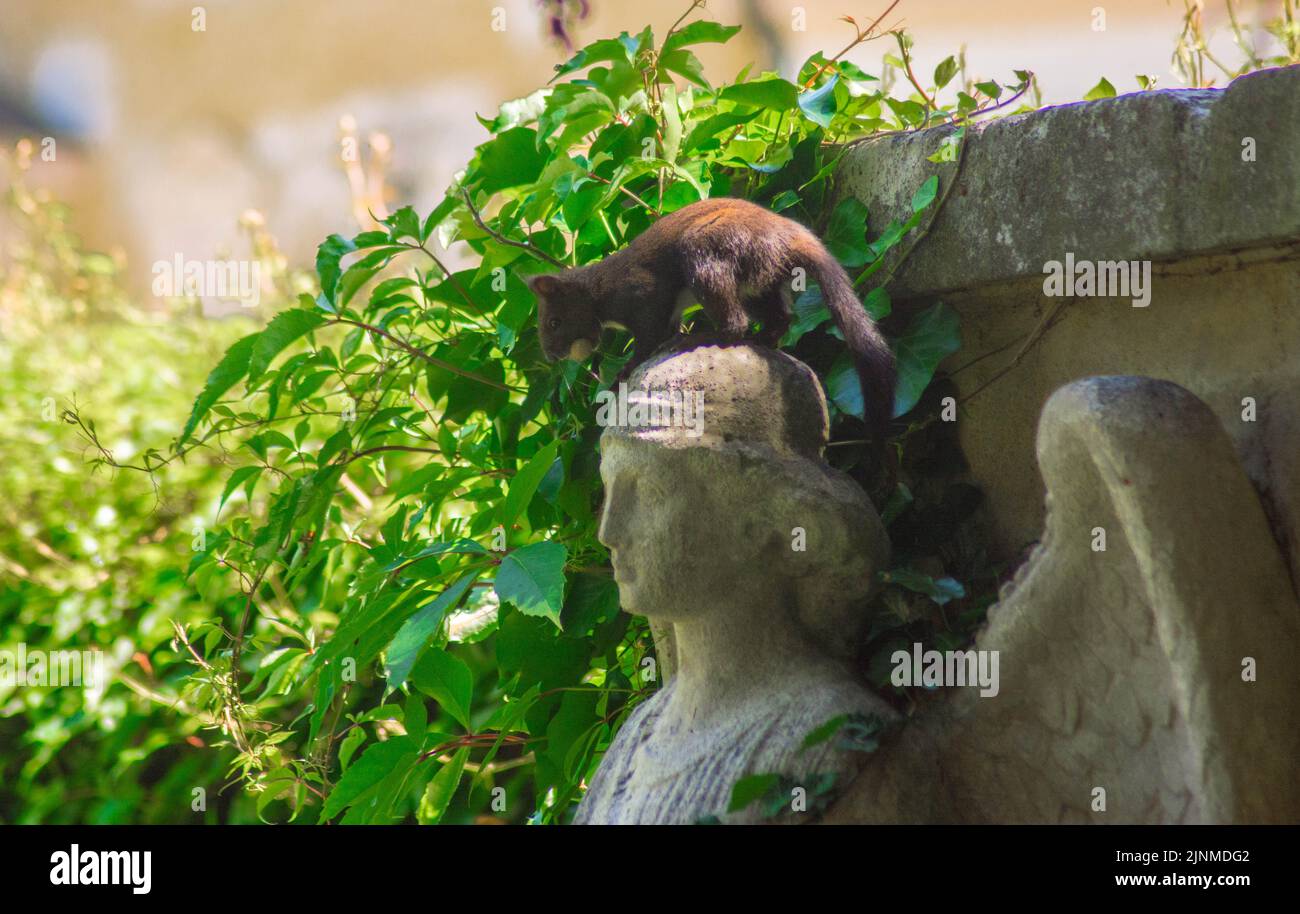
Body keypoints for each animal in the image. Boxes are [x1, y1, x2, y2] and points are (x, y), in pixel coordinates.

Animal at [526, 196, 895, 455]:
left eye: (554, 322)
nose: (552, 355)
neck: (600, 291)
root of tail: (792, 236)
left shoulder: (645, 297)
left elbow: (647, 339)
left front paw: (621, 375)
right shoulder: (669, 313)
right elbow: (666, 329)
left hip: (705, 259)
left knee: (735, 324)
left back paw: (699, 339)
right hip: (758, 287)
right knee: (781, 319)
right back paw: (763, 341)